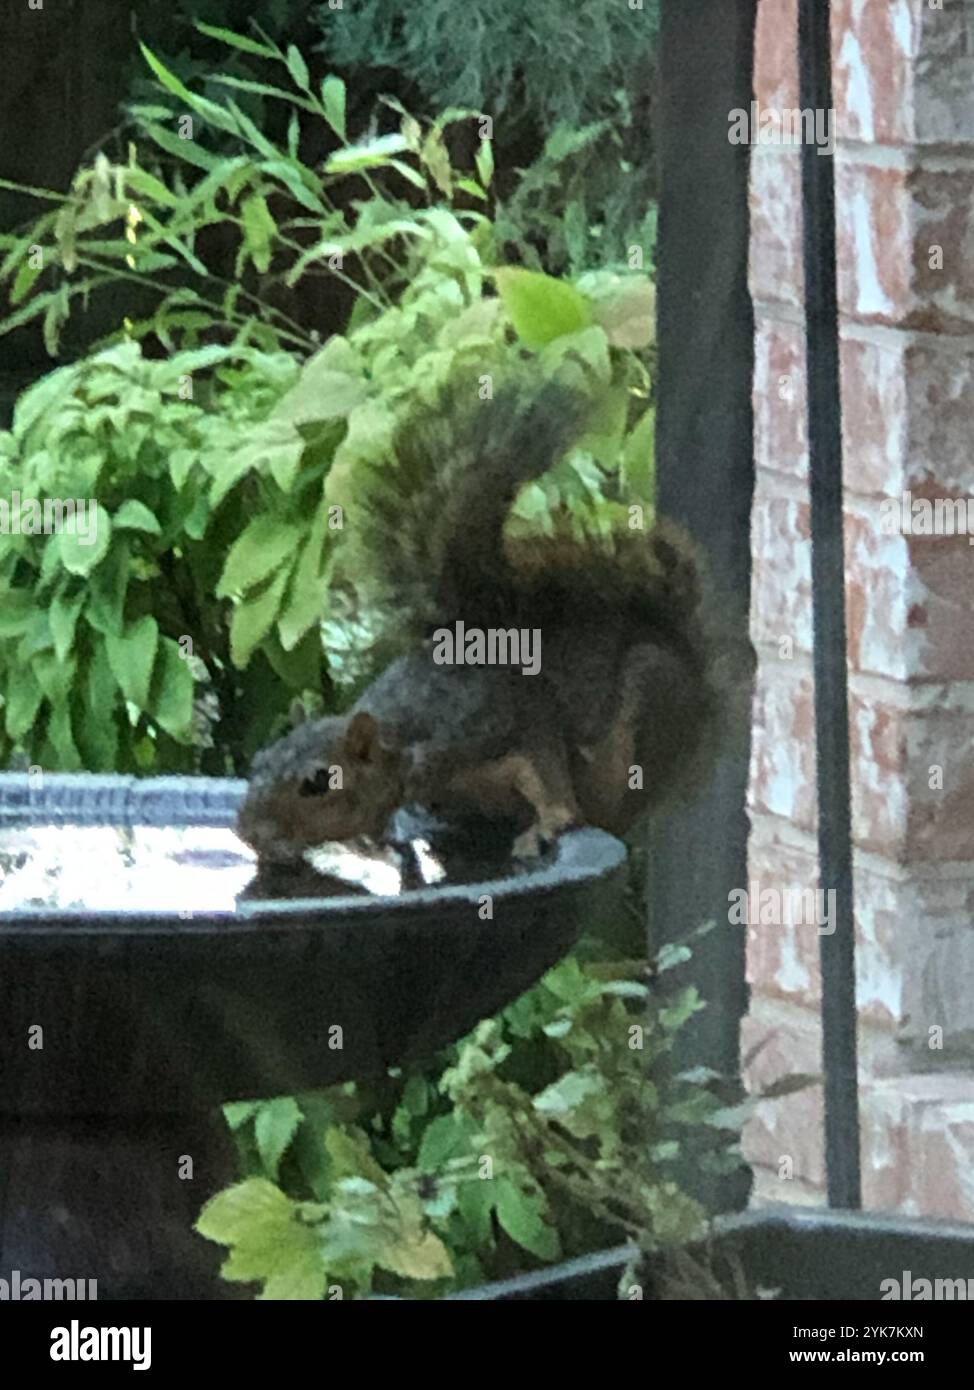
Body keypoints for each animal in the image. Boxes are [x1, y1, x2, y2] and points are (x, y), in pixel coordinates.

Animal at [236, 367, 742, 869]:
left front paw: (549, 823)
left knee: (605, 807)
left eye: (318, 783)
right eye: (259, 761)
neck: (406, 733)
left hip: (643, 714)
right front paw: (373, 839)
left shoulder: (501, 720)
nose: (247, 834)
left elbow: (548, 775)